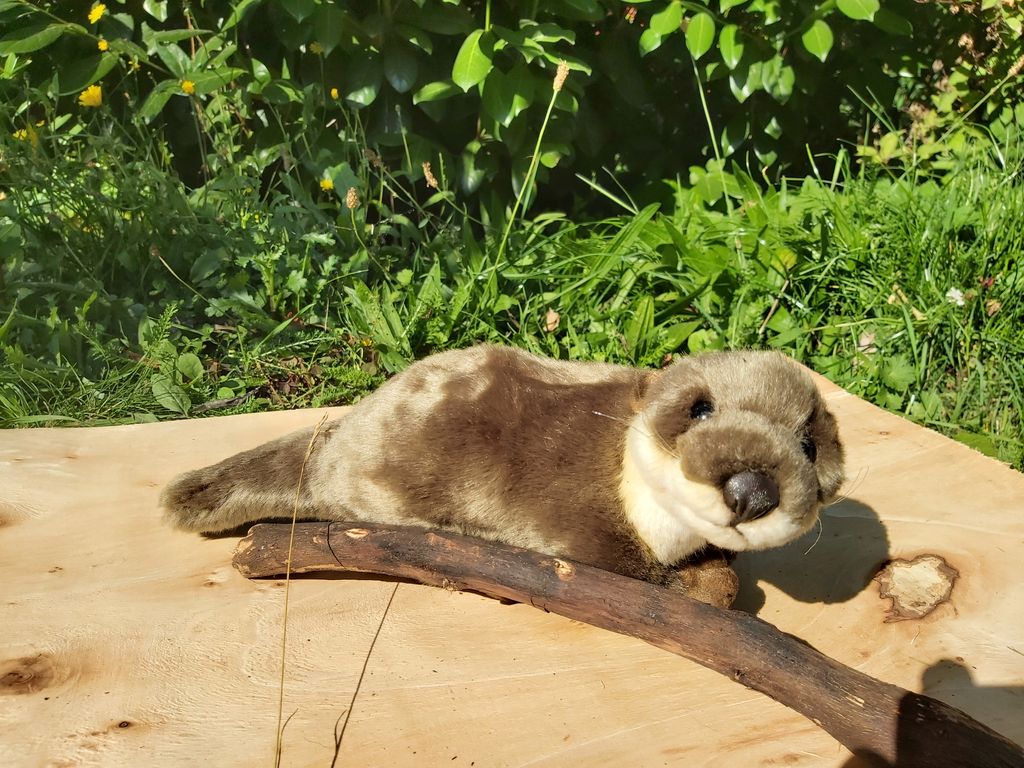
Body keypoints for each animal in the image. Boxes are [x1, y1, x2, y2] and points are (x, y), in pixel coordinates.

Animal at [161, 346, 845, 608]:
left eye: (809, 446)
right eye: (699, 409)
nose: (752, 490)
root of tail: (345, 430)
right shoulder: (580, 528)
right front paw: (700, 583)